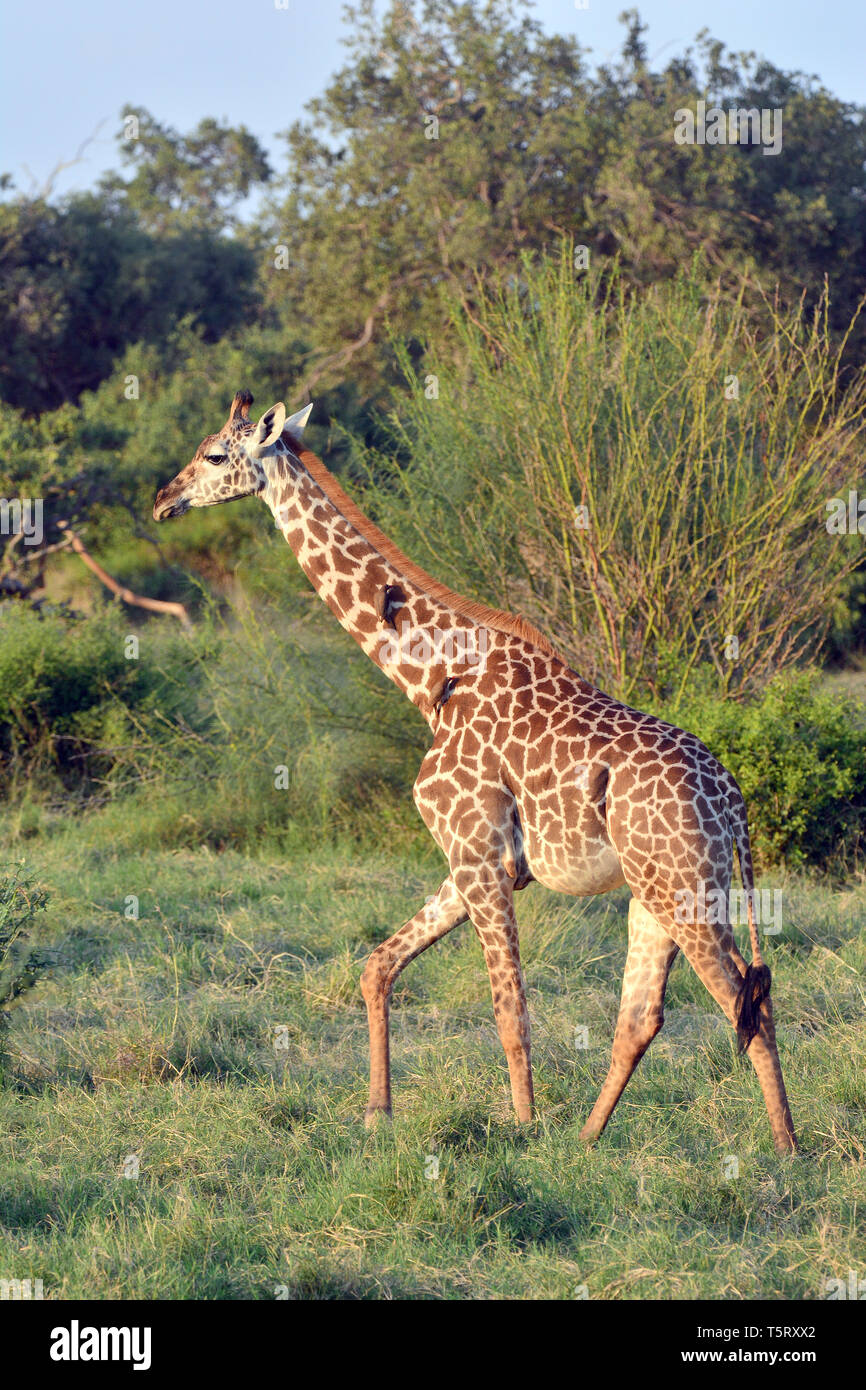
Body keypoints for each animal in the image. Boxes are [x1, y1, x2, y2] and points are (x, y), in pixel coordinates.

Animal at [153, 391, 798, 1154]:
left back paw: (786, 1151)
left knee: (743, 1001)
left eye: (214, 454)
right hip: (657, 892)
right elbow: (378, 966)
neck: (432, 676)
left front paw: (521, 1132)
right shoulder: (472, 862)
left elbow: (510, 1009)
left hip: (683, 889)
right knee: (648, 1015)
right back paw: (587, 1142)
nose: (163, 498)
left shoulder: (479, 857)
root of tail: (735, 804)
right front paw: (377, 1113)